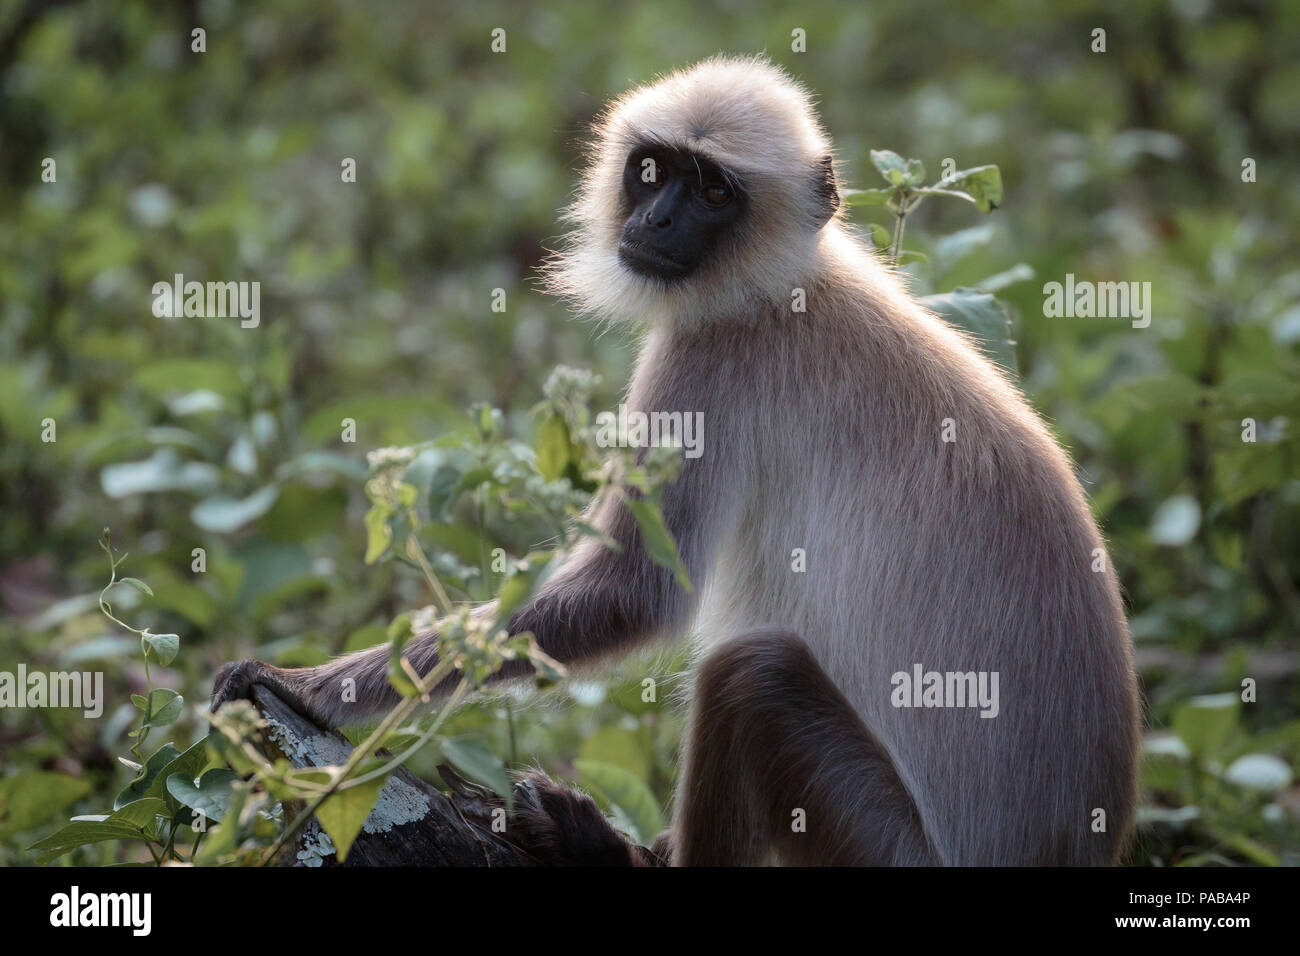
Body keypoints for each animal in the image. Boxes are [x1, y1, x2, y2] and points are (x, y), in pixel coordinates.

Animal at [214, 55, 1140, 866]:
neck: (779, 284)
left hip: (886, 847)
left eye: (715, 191)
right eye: (654, 172)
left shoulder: (710, 356)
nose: (656, 222)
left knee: (754, 674)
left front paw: (301, 685)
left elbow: (633, 592)